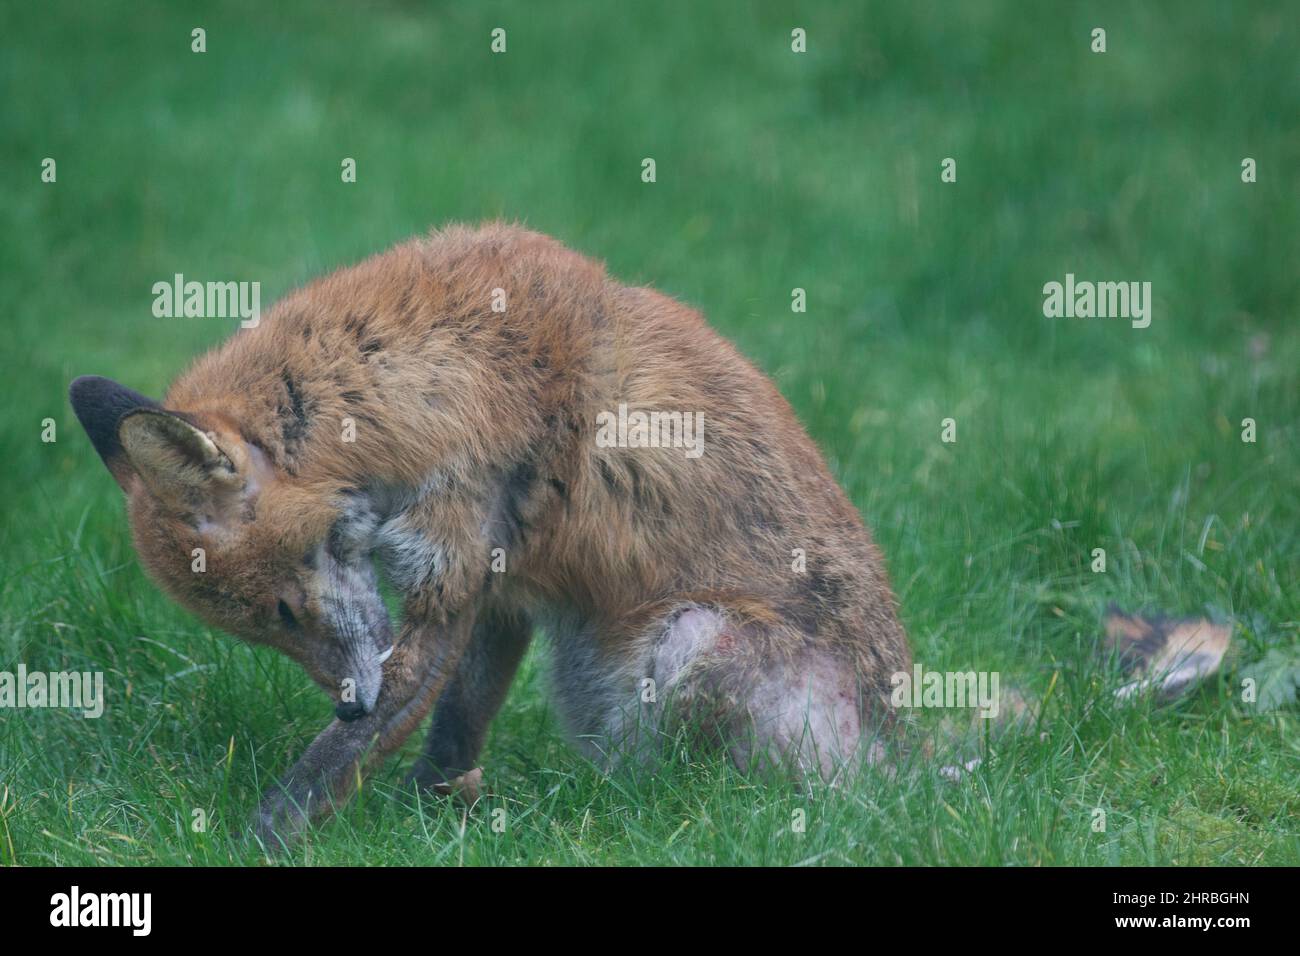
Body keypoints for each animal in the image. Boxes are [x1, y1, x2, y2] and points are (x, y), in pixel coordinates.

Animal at [69, 223, 911, 845]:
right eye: (265, 628)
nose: (348, 705)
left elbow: (328, 767)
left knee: (684, 799)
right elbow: (453, 727)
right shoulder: (498, 590)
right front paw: (427, 811)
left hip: (689, 638)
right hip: (586, 672)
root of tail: (903, 768)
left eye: (280, 611)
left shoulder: (452, 569)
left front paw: (260, 843)